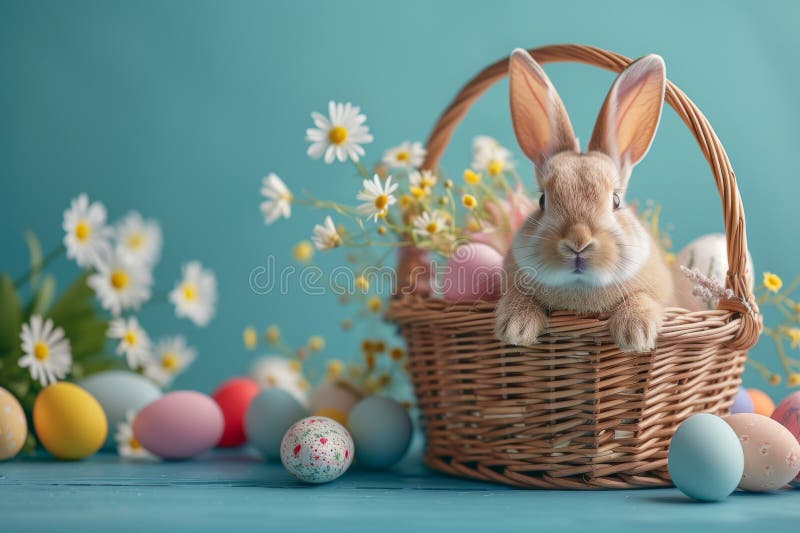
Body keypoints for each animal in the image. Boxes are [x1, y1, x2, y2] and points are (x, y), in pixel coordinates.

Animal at [494, 49, 674, 353]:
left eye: (616, 200)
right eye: (542, 200)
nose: (578, 242)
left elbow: (643, 298)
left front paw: (635, 335)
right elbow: (520, 296)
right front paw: (515, 328)